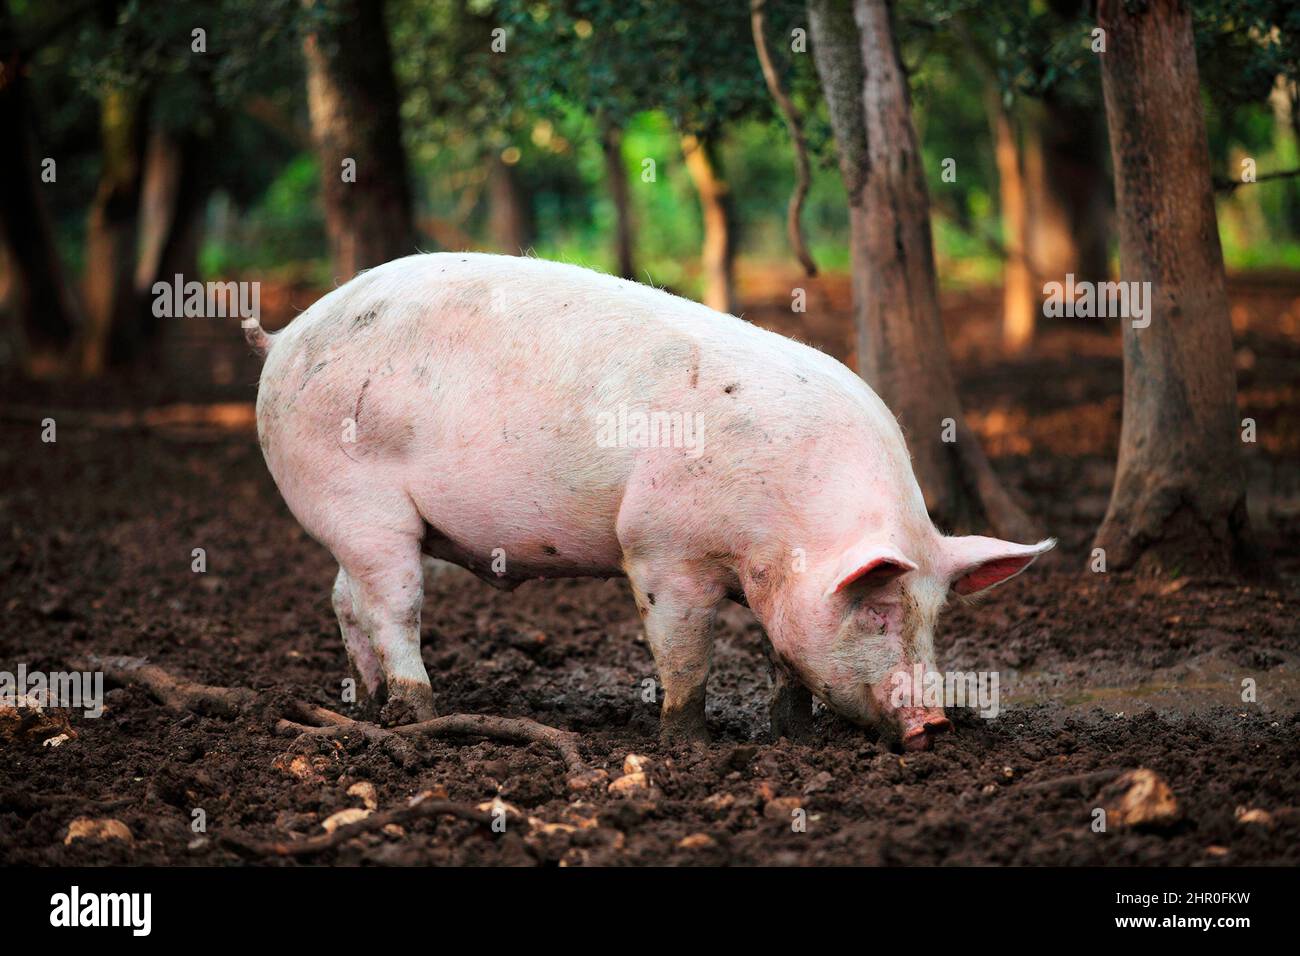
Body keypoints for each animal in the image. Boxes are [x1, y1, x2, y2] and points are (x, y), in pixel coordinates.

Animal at [244, 253, 1053, 749]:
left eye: (933, 615)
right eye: (879, 609)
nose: (933, 724)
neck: (785, 532)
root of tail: (284, 335)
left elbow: (783, 655)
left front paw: (790, 734)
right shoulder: (662, 548)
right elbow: (685, 653)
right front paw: (690, 745)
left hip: (353, 521)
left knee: (344, 597)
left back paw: (368, 702)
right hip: (358, 501)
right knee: (392, 605)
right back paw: (418, 711)